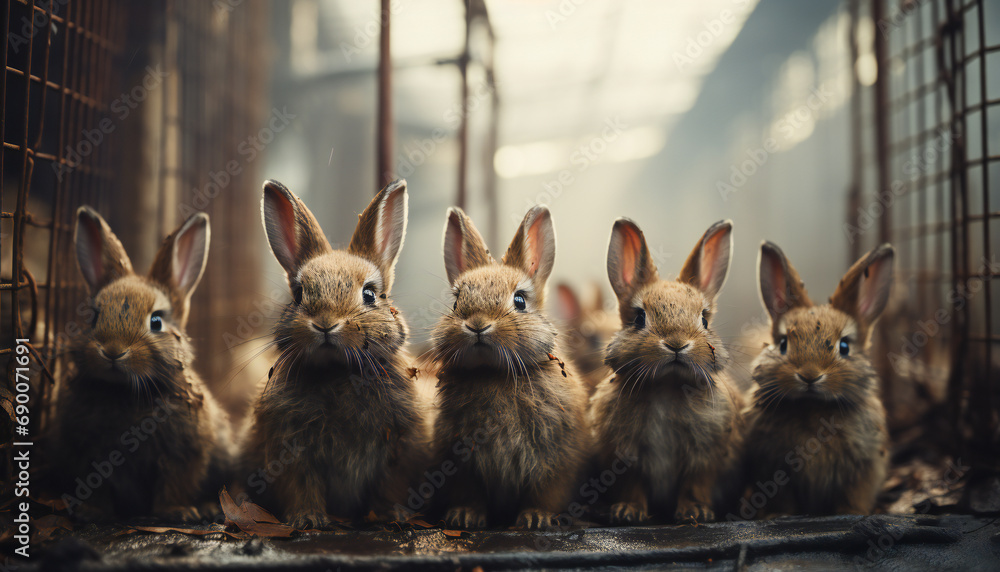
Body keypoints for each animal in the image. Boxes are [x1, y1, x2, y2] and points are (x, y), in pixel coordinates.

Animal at [50, 207, 235, 521]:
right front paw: (91, 512)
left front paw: (179, 512)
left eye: (156, 322)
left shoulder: (184, 452)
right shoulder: (86, 451)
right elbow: (94, 485)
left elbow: (175, 483)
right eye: (93, 317)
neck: (123, 392)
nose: (112, 351)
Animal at [241, 179, 427, 530]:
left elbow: (391, 485)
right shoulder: (289, 447)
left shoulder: (400, 445)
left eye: (369, 294)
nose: (326, 323)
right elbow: (301, 484)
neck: (339, 372)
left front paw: (392, 515)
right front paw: (308, 519)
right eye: (298, 294)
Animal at [427, 206, 589, 530]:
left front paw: (535, 519)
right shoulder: (459, 460)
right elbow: (469, 493)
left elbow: (546, 492)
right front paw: (464, 517)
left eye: (520, 301)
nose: (477, 324)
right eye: (456, 302)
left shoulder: (556, 458)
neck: (493, 373)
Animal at [590, 219, 745, 525]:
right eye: (639, 317)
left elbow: (695, 485)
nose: (676, 343)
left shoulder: (705, 456)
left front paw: (695, 512)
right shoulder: (625, 456)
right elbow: (633, 485)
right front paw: (628, 512)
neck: (666, 386)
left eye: (704, 320)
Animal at [742, 241, 892, 516]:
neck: (812, 406)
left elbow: (853, 497)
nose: (809, 375)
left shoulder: (863, 470)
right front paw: (780, 515)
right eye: (783, 344)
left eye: (844, 347)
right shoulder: (773, 468)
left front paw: (850, 514)